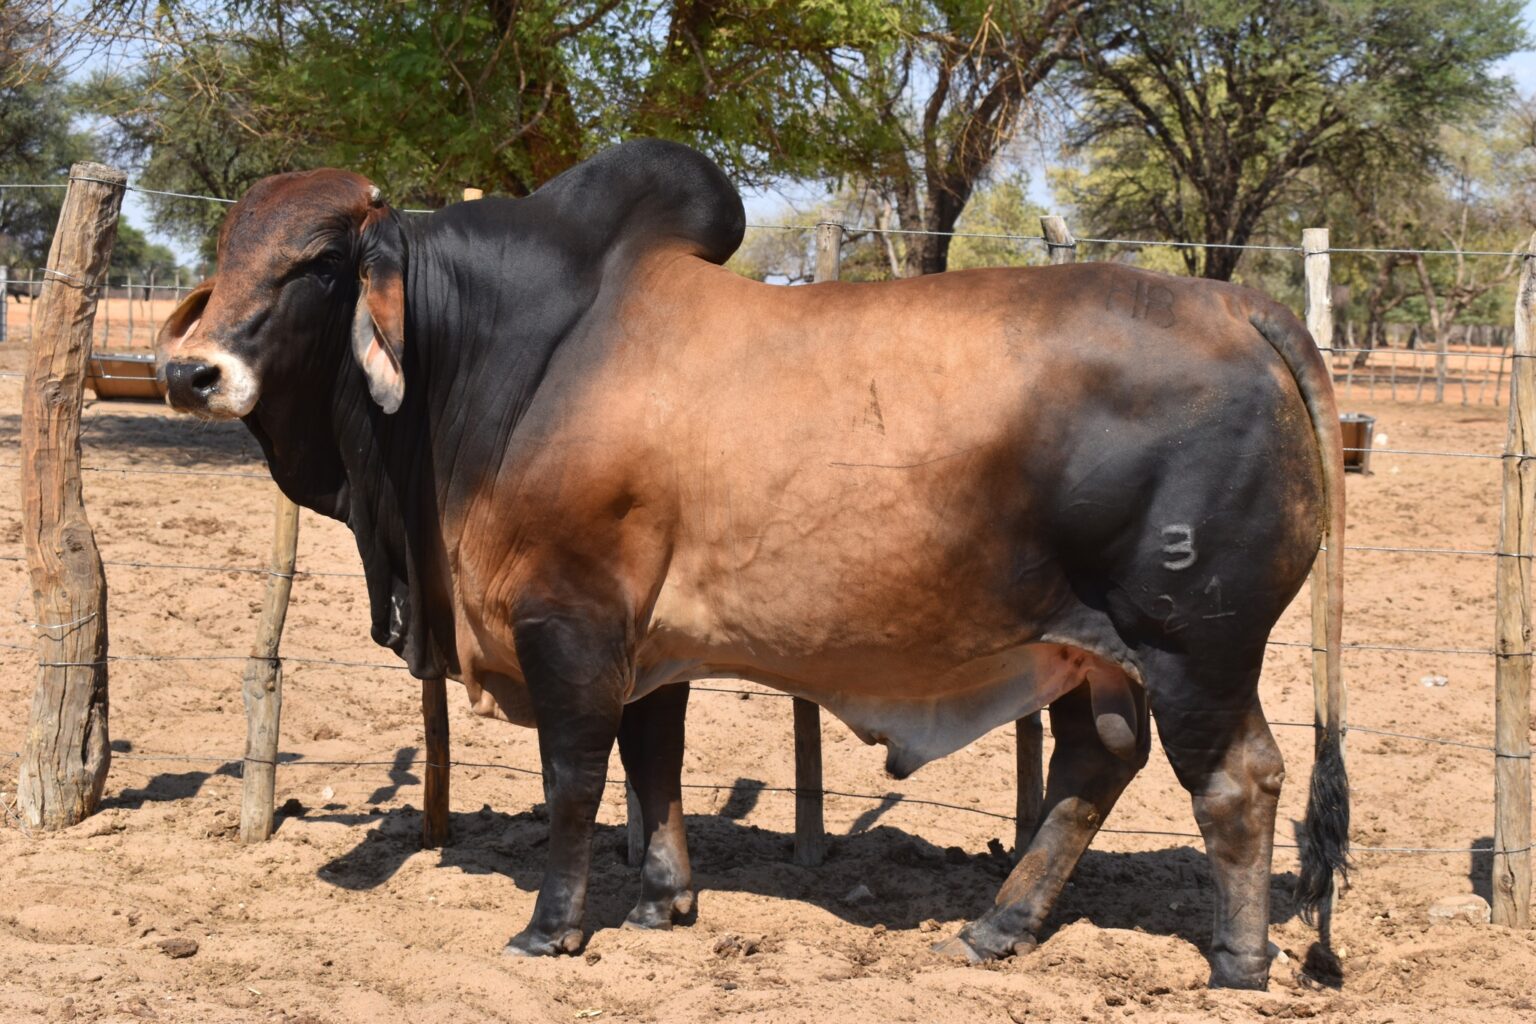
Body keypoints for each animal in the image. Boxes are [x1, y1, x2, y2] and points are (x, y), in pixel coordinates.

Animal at [156, 139, 1346, 990]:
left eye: (320, 264)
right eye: (224, 250)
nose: (188, 371)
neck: (499, 355)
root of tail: (1239, 303)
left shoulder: (569, 622)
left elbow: (575, 775)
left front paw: (552, 929)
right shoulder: (650, 643)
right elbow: (656, 763)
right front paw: (662, 903)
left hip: (1193, 642)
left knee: (1237, 778)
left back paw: (1237, 964)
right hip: (1088, 646)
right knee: (1096, 763)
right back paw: (994, 929)